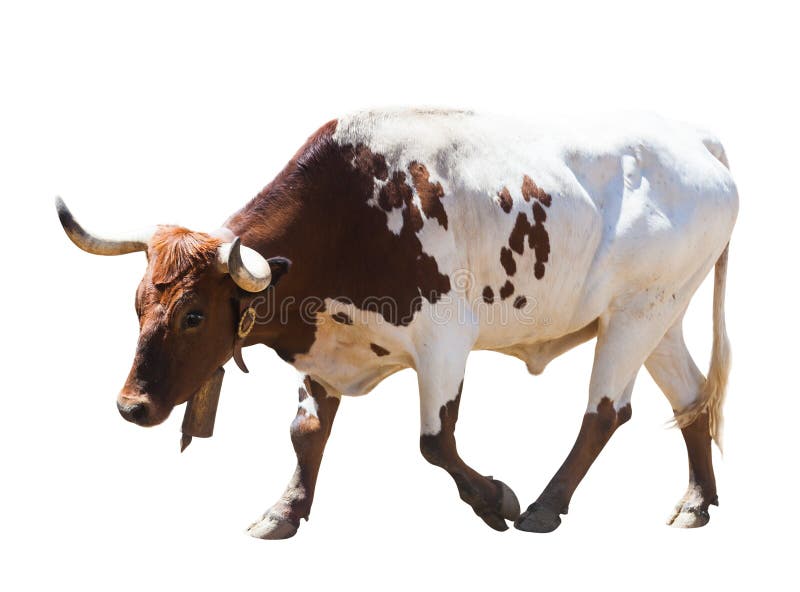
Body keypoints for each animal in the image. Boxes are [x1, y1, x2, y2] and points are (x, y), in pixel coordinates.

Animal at [56, 108, 738, 538]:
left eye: (194, 315)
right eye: (137, 305)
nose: (131, 406)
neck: (351, 215)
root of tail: (696, 141)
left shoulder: (444, 340)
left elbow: (435, 442)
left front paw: (496, 498)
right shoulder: (325, 350)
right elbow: (306, 432)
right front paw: (284, 511)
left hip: (637, 311)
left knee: (604, 413)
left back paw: (545, 507)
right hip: (661, 317)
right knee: (691, 398)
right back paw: (696, 503)